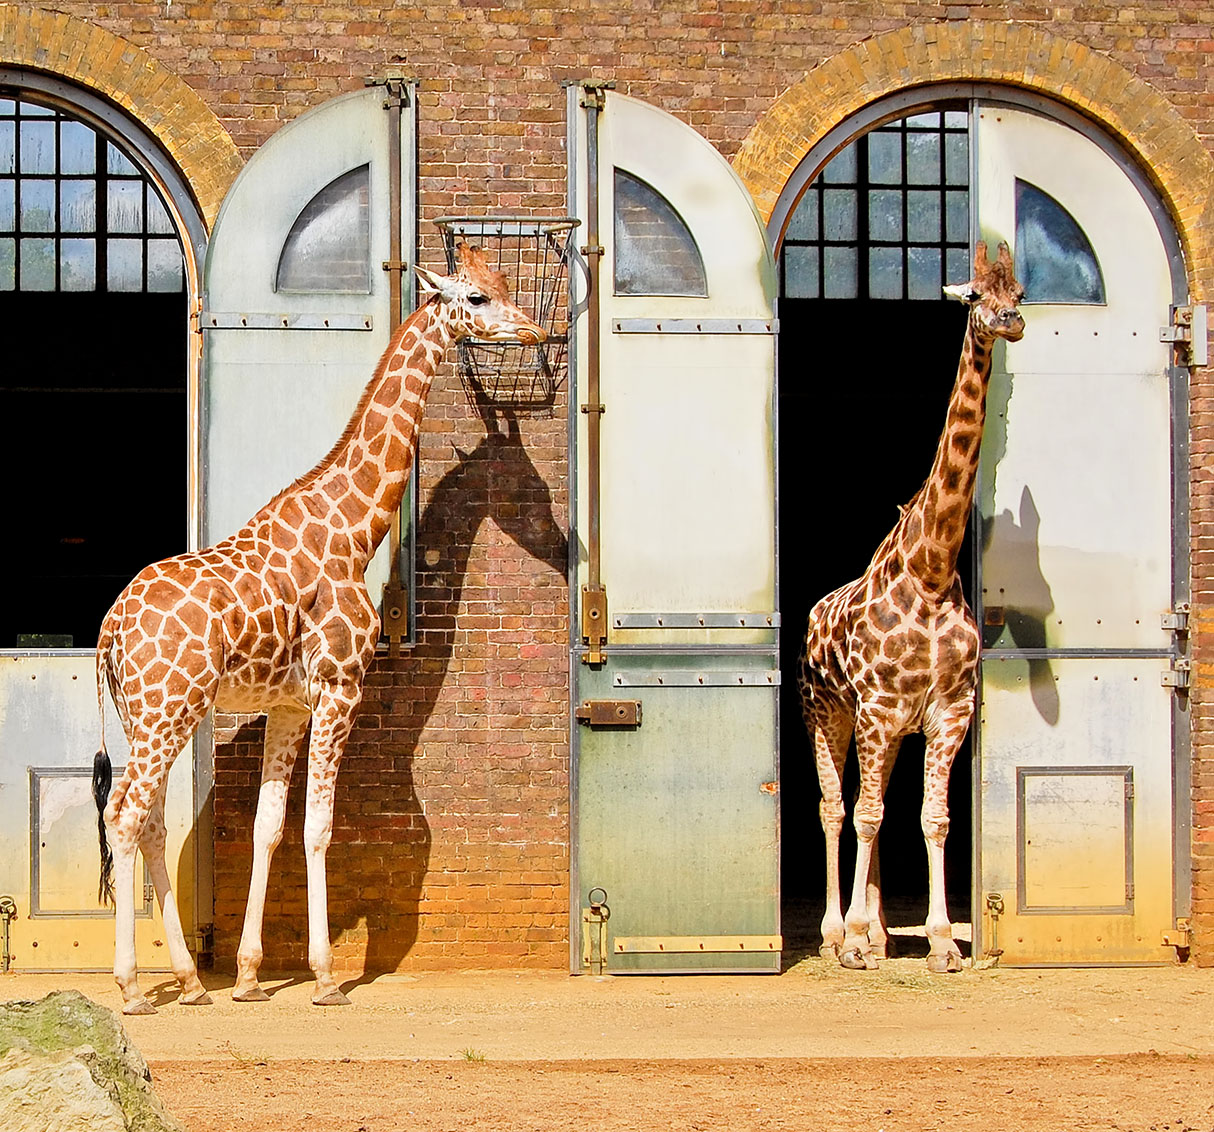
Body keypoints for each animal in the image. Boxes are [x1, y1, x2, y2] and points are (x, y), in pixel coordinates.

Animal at [91, 243, 545, 1014]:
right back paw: (130, 988)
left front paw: (248, 975)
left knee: (146, 821)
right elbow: (320, 828)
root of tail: (109, 630)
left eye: (508, 284)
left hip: (148, 715)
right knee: (125, 816)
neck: (353, 530)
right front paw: (328, 976)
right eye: (478, 297)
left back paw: (192, 982)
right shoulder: (340, 689)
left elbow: (269, 827)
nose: (537, 330)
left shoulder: (289, 705)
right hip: (167, 710)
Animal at [797, 241, 1025, 973]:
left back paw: (876, 933)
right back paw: (838, 934)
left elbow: (933, 817)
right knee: (837, 806)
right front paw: (852, 942)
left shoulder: (947, 713)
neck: (930, 570)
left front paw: (941, 944)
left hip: (891, 731)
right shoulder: (875, 710)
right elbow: (864, 814)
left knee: (877, 805)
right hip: (829, 713)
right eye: (975, 294)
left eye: (1020, 291)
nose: (1010, 322)